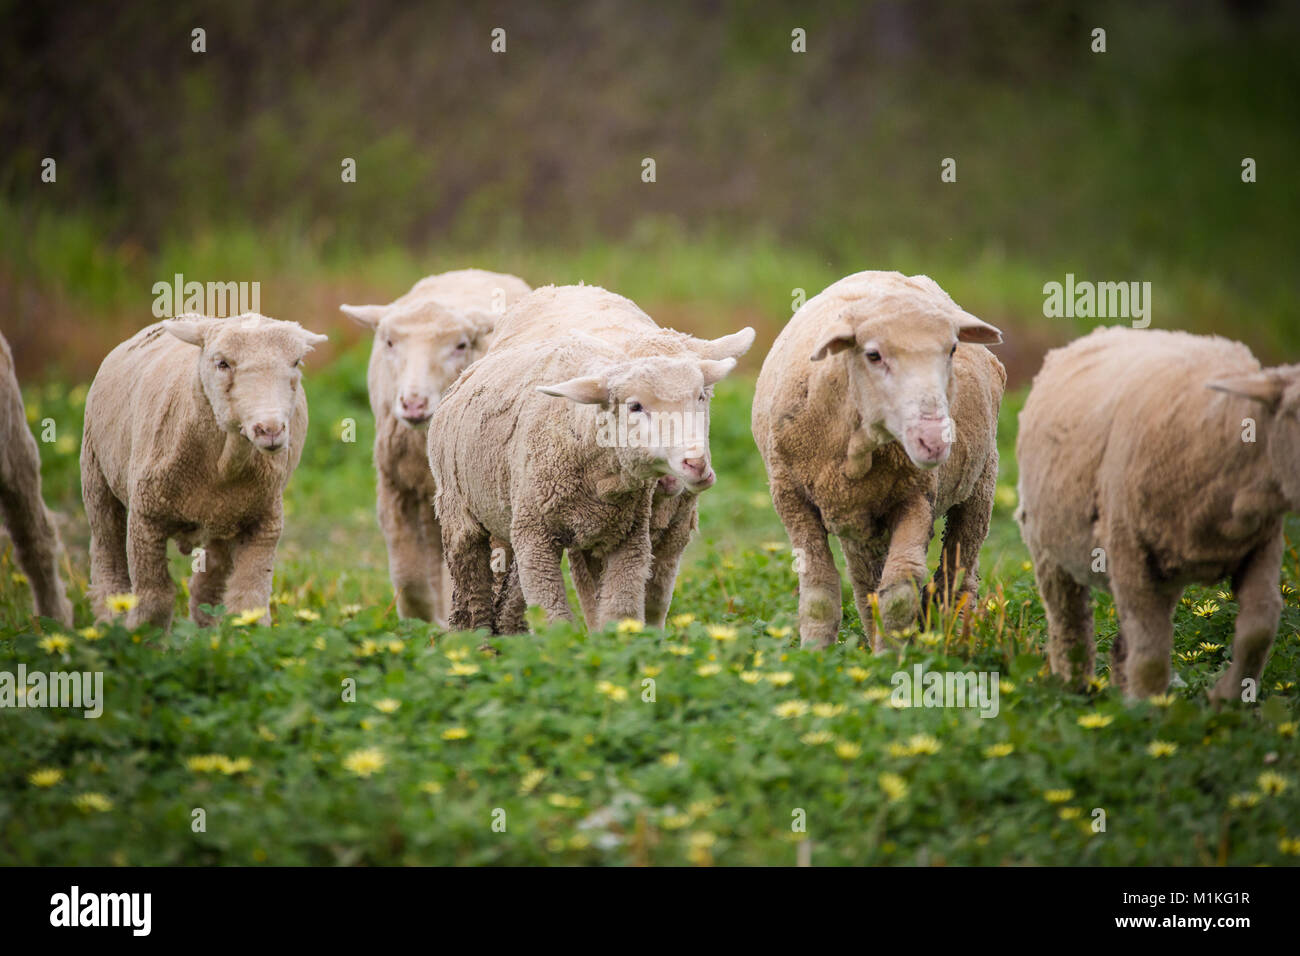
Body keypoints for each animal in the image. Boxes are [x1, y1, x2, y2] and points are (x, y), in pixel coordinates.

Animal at [80, 313, 327, 629]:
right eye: (222, 363)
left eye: (296, 362)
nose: (269, 429)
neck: (222, 468)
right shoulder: (145, 519)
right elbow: (154, 598)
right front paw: (140, 638)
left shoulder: (264, 523)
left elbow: (249, 601)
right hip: (95, 474)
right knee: (107, 560)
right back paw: (109, 624)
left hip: (226, 519)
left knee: (208, 587)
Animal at [340, 269, 530, 624]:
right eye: (389, 343)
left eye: (460, 345)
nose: (414, 404)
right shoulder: (395, 487)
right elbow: (409, 575)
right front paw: (424, 620)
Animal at [428, 285, 745, 633]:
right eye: (635, 406)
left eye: (703, 396)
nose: (695, 465)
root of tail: (564, 286)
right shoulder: (539, 532)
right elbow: (559, 615)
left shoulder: (654, 535)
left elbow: (641, 605)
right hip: (464, 513)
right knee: (475, 587)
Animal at [752, 270, 1005, 650]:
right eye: (873, 354)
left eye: (952, 349)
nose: (933, 440)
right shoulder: (791, 499)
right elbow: (820, 593)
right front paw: (813, 654)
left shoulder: (916, 497)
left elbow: (899, 592)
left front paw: (889, 657)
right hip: (857, 518)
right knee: (864, 583)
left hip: (981, 481)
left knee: (958, 573)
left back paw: (952, 640)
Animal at [1016, 326, 1300, 700]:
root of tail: (1100, 332)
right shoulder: (1129, 548)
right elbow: (1150, 653)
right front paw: (1151, 710)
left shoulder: (1263, 544)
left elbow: (1259, 627)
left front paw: (1226, 698)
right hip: (1052, 548)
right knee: (1069, 621)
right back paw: (1074, 686)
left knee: (1128, 639)